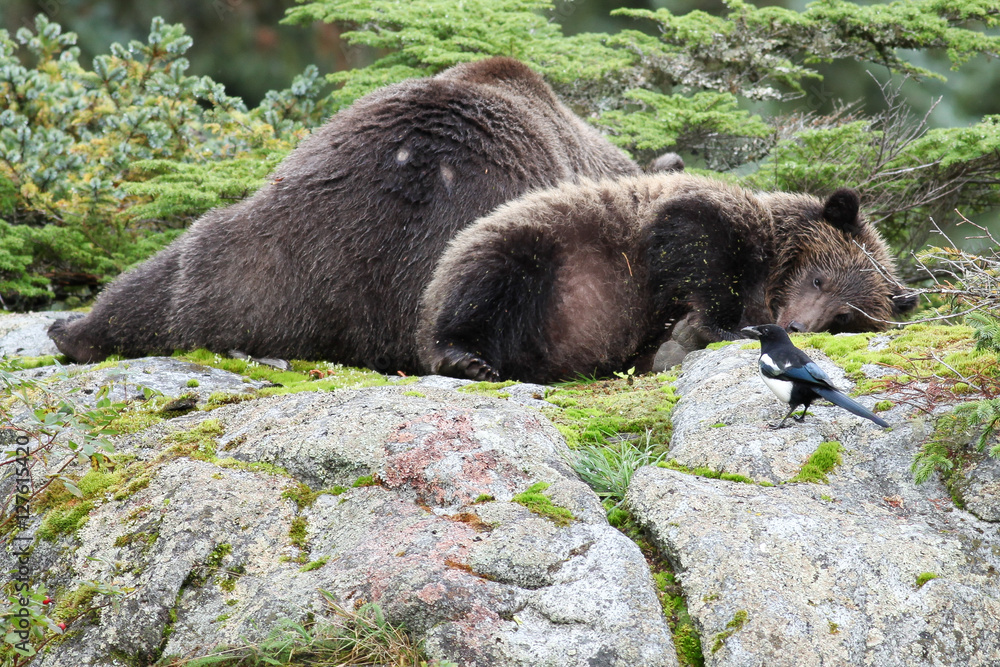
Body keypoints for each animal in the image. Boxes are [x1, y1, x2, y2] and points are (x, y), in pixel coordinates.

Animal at [417, 173, 917, 384]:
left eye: (845, 317)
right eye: (818, 279)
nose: (797, 326)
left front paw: (681, 341)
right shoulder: (705, 221)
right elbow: (699, 245)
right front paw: (713, 326)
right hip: (539, 254)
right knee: (484, 289)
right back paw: (466, 358)